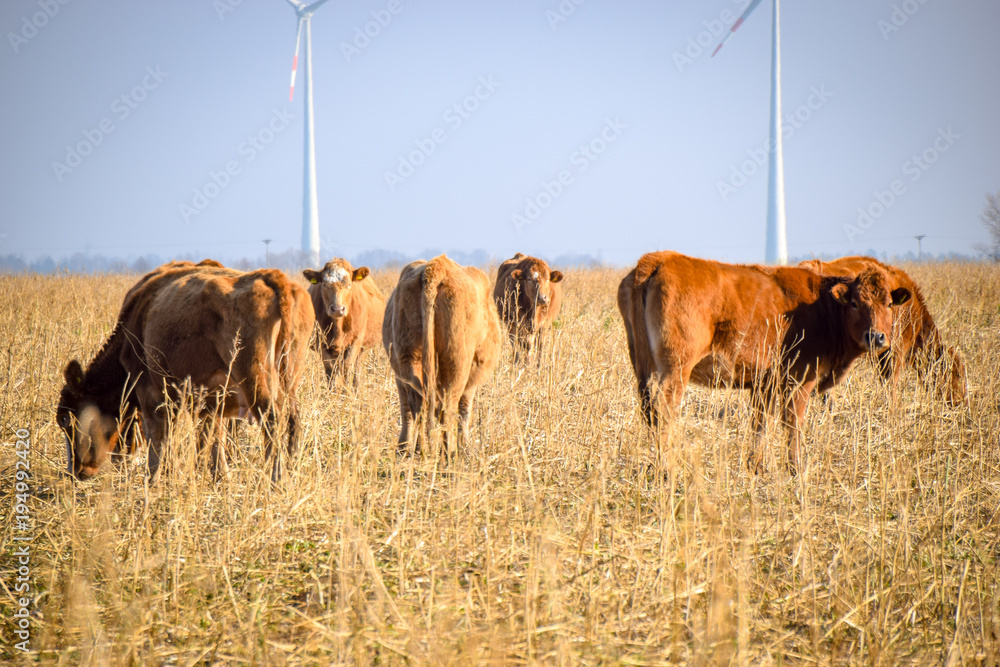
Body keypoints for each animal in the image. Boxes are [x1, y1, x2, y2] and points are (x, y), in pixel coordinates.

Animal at [57, 261, 314, 484]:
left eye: (66, 420)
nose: (76, 471)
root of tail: (271, 276)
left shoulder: (150, 392)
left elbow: (158, 438)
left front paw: (154, 479)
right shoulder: (212, 398)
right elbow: (213, 437)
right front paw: (220, 476)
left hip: (253, 377)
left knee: (272, 420)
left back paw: (276, 479)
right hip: (287, 377)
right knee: (292, 420)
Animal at [382, 255, 501, 455]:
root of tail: (437, 266)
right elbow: (465, 409)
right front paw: (464, 446)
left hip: (408, 356)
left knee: (416, 402)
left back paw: (418, 449)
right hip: (457, 360)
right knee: (448, 405)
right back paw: (448, 452)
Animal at [617, 251, 911, 473]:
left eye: (888, 303)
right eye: (854, 303)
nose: (876, 336)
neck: (822, 307)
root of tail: (658, 259)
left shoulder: (764, 384)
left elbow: (760, 424)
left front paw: (756, 466)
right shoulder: (799, 382)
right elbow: (793, 424)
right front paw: (795, 468)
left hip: (643, 368)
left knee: (649, 411)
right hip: (676, 369)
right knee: (664, 411)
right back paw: (667, 468)